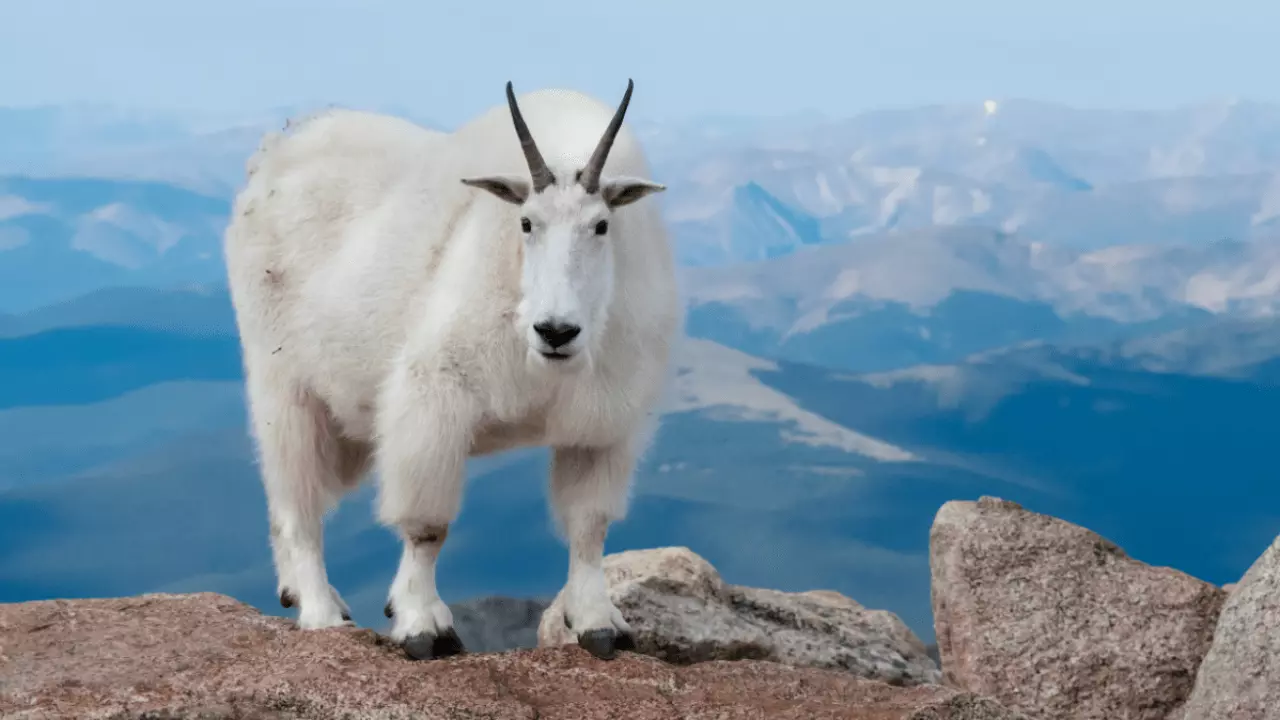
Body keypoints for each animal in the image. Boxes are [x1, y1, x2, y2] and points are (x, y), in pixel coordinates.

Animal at [222, 81, 680, 661]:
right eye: (526, 222)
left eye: (601, 225)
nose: (555, 332)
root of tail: (270, 156)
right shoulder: (434, 400)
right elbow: (427, 527)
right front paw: (422, 626)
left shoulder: (603, 426)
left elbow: (589, 527)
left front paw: (599, 624)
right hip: (283, 384)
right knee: (296, 503)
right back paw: (321, 613)